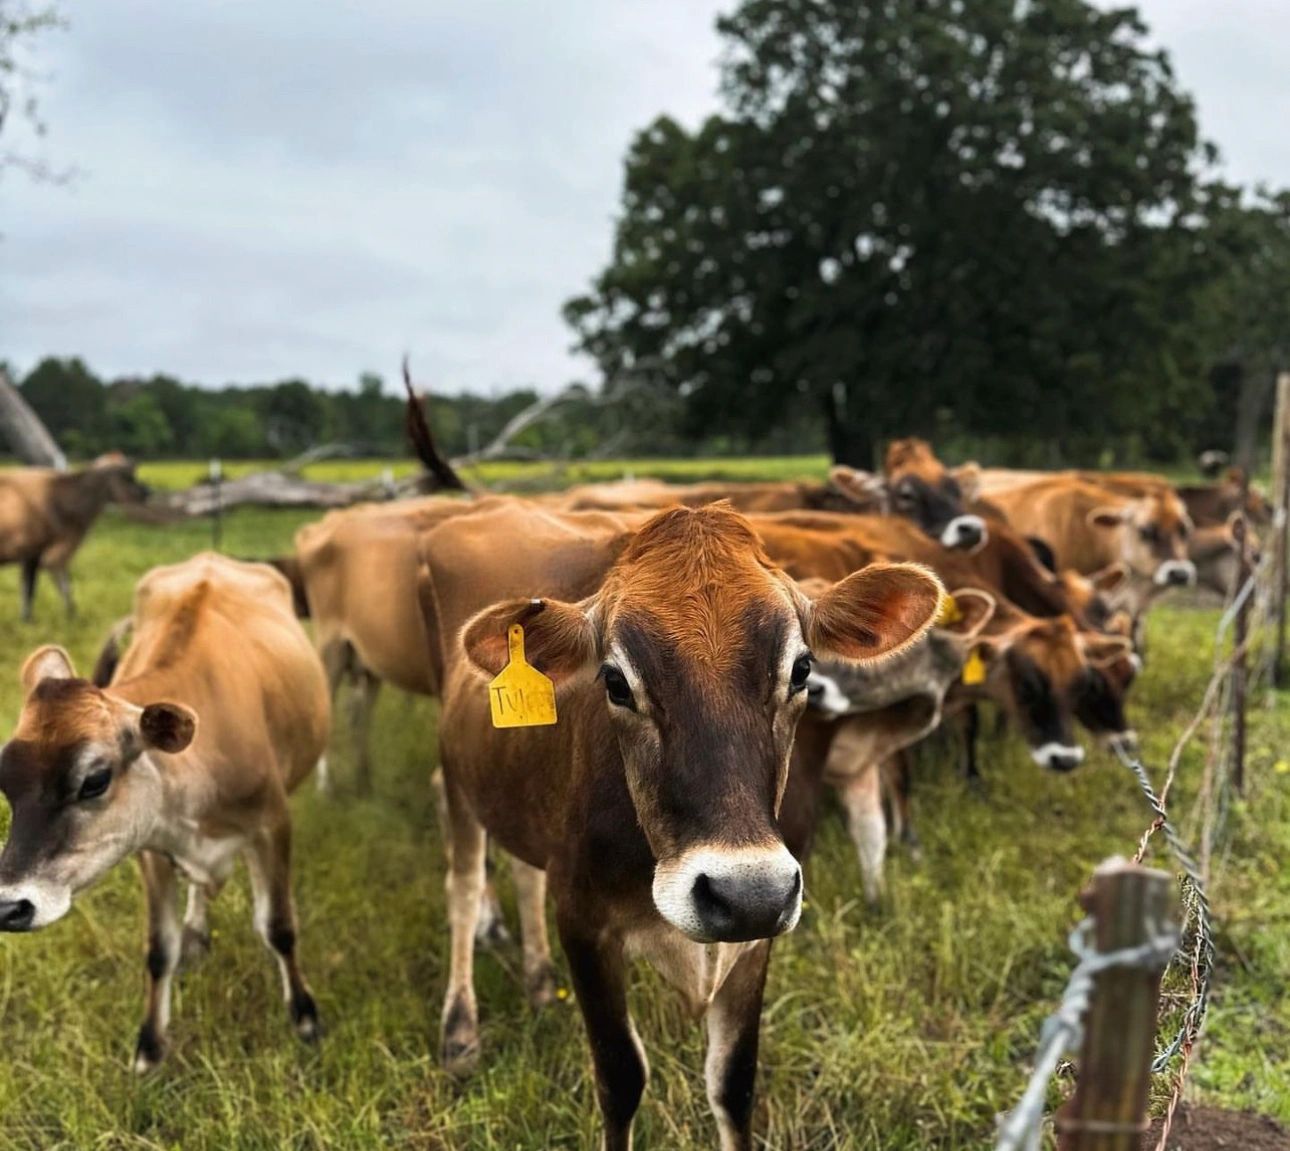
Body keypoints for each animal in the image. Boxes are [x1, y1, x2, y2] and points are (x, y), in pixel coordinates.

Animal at [0, 453, 149, 620]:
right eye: (128, 476)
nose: (148, 491)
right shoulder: (34, 550)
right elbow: (30, 589)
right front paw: (27, 619)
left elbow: (65, 585)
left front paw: (72, 615)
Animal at [0, 553, 330, 1071]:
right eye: (5, 783)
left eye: (95, 780)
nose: (9, 906)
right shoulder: (150, 847)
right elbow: (160, 949)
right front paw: (151, 1045)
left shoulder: (273, 824)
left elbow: (279, 927)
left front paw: (305, 1016)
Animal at [420, 501, 943, 1151]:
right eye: (615, 680)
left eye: (801, 670)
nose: (745, 893)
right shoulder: (584, 921)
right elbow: (620, 1078)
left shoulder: (758, 935)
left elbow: (733, 1083)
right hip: (456, 775)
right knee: (465, 889)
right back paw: (459, 1031)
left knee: (523, 872)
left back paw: (539, 982)